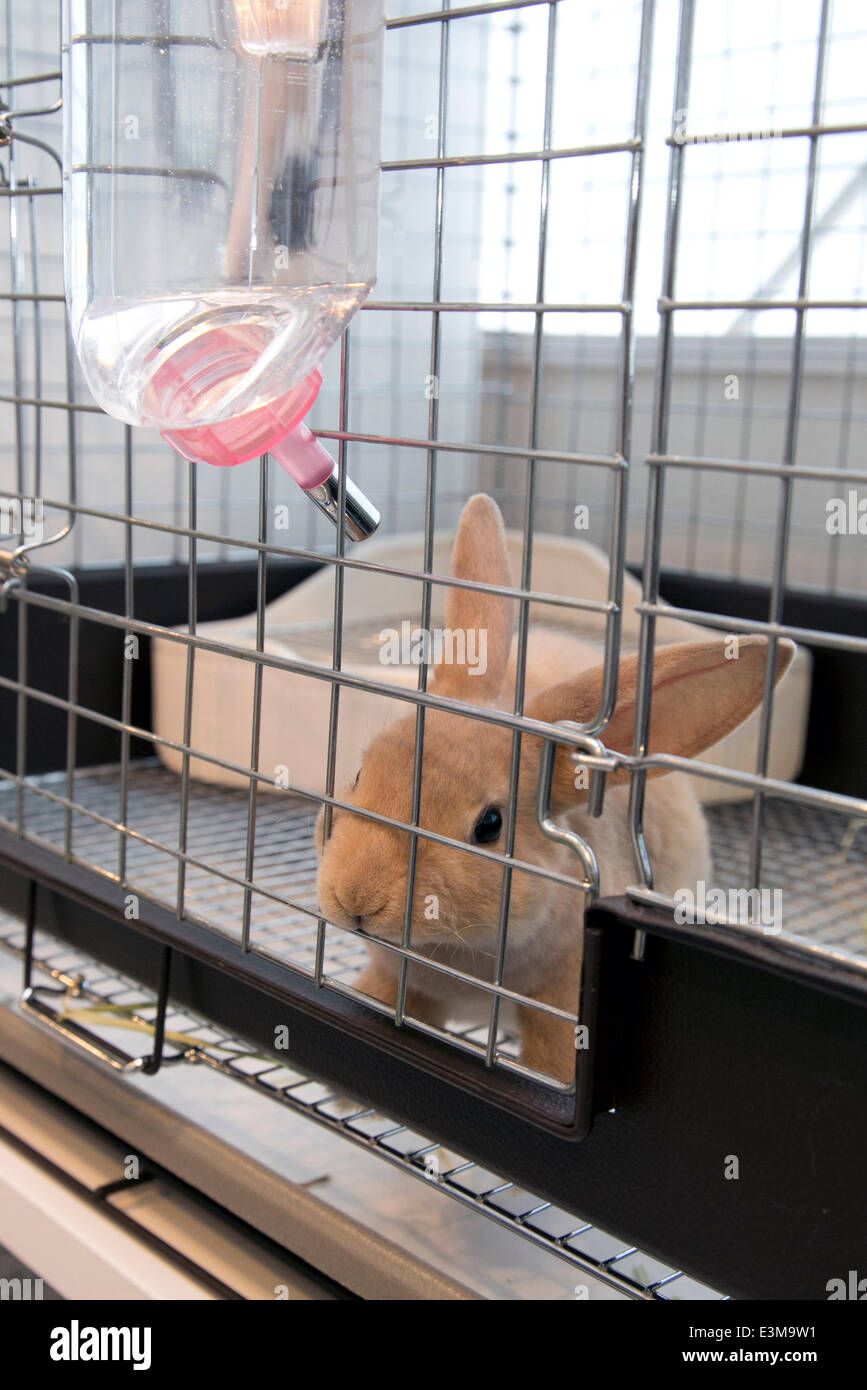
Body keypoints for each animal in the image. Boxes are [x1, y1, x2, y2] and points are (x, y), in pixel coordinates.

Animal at [316, 494, 794, 1083]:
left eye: (489, 826)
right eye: (362, 772)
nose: (357, 899)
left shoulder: (560, 996)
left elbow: (551, 1055)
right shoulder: (402, 981)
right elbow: (384, 996)